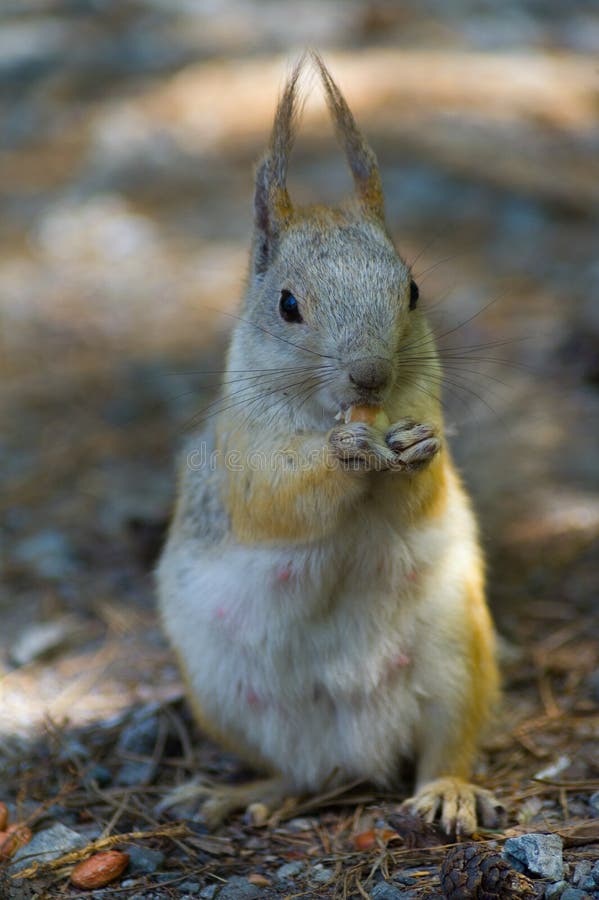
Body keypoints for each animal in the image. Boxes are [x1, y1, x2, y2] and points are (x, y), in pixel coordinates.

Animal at [157, 52, 503, 836]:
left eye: (412, 290)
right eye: (287, 305)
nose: (370, 375)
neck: (333, 413)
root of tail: (356, 748)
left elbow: (422, 493)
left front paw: (416, 446)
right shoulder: (239, 455)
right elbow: (279, 503)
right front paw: (345, 454)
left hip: (458, 657)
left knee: (446, 744)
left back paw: (448, 793)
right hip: (224, 693)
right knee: (290, 770)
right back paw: (238, 794)